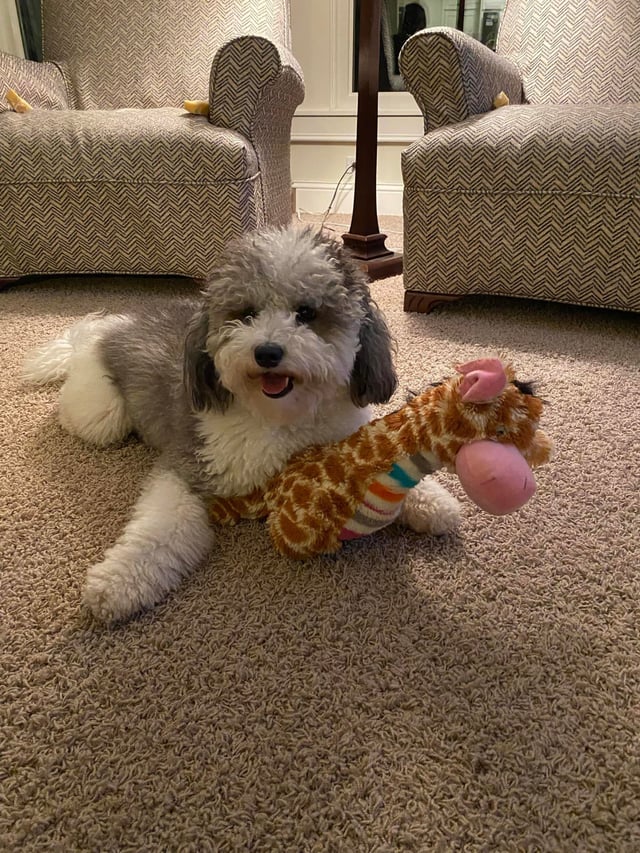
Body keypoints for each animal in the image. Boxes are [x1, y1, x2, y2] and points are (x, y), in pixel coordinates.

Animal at [21, 223, 460, 624]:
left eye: (306, 313)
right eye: (246, 314)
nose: (267, 352)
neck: (280, 419)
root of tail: (102, 331)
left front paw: (433, 502)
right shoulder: (188, 466)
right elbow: (161, 530)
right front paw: (118, 582)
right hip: (100, 416)